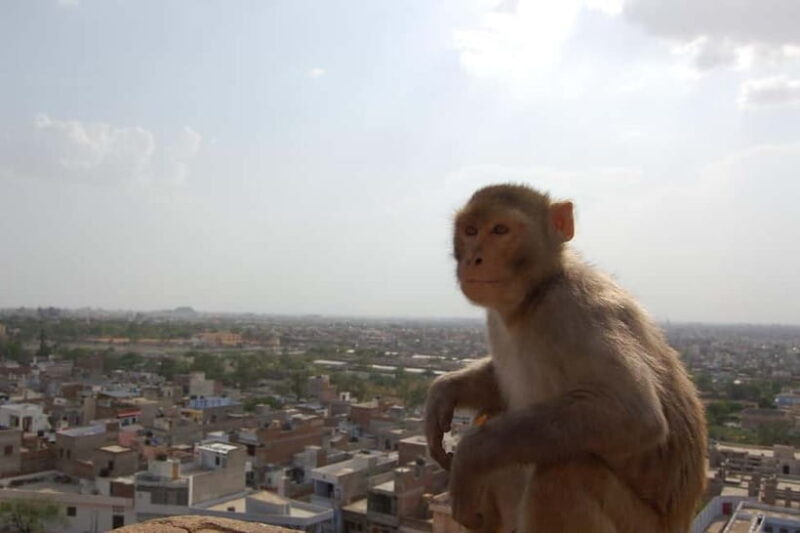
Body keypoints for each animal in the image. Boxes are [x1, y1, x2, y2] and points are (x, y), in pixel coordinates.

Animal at [424, 184, 707, 533]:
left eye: (500, 230)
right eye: (470, 230)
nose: (473, 258)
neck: (534, 296)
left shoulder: (575, 309)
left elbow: (633, 413)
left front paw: (470, 456)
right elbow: (497, 386)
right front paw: (444, 391)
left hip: (641, 525)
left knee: (563, 473)